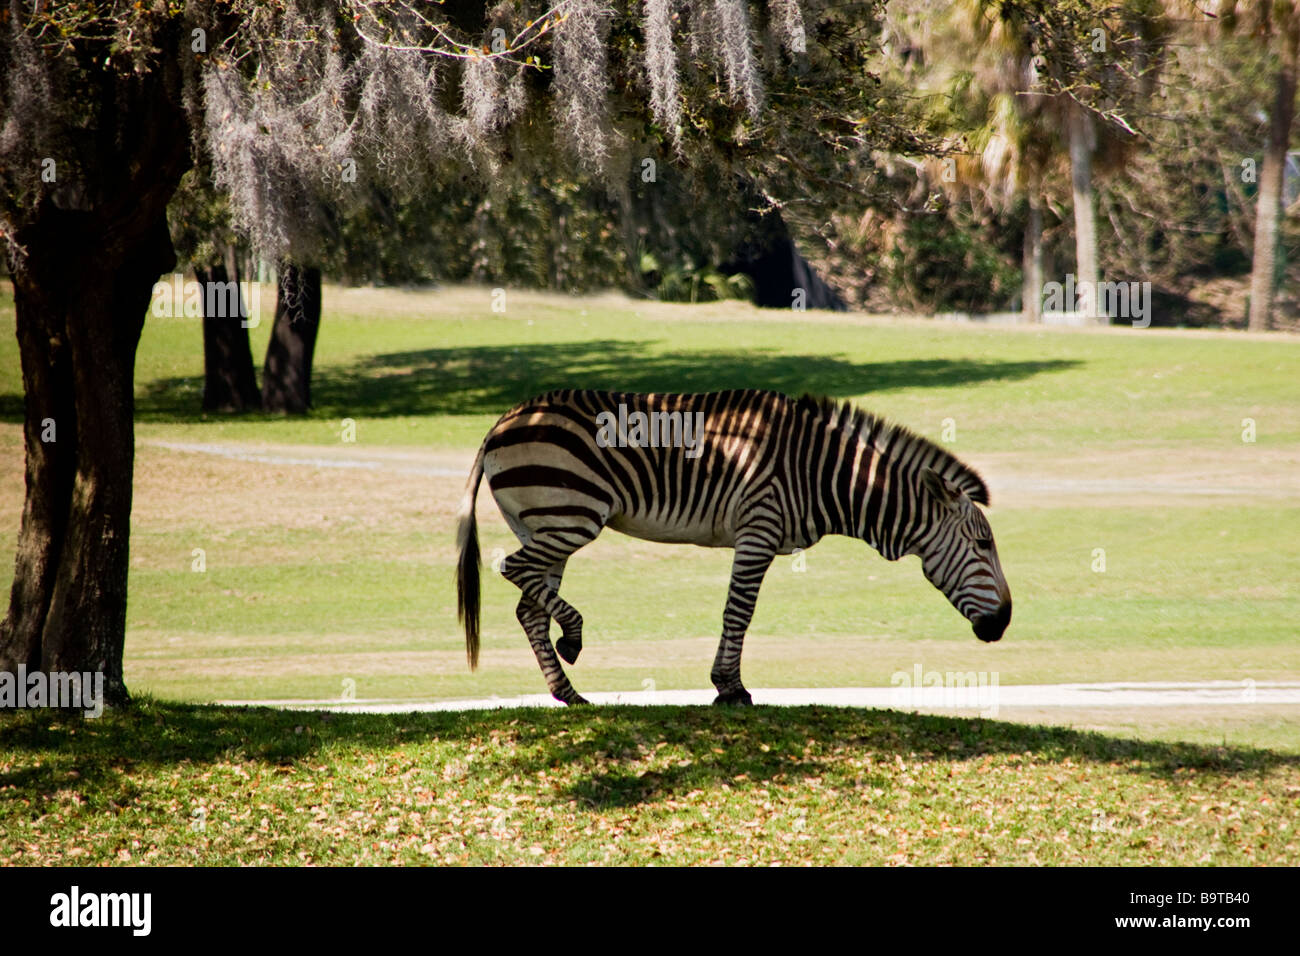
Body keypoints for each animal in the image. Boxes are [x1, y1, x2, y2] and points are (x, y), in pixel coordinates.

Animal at [456, 389, 1011, 706]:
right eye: (983, 543)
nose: (1004, 623)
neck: (820, 473)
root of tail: (502, 422)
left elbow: (738, 612)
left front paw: (726, 684)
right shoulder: (758, 528)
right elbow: (739, 611)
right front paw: (731, 688)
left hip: (547, 526)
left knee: (529, 606)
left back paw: (568, 693)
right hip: (571, 518)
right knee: (512, 568)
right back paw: (572, 638)